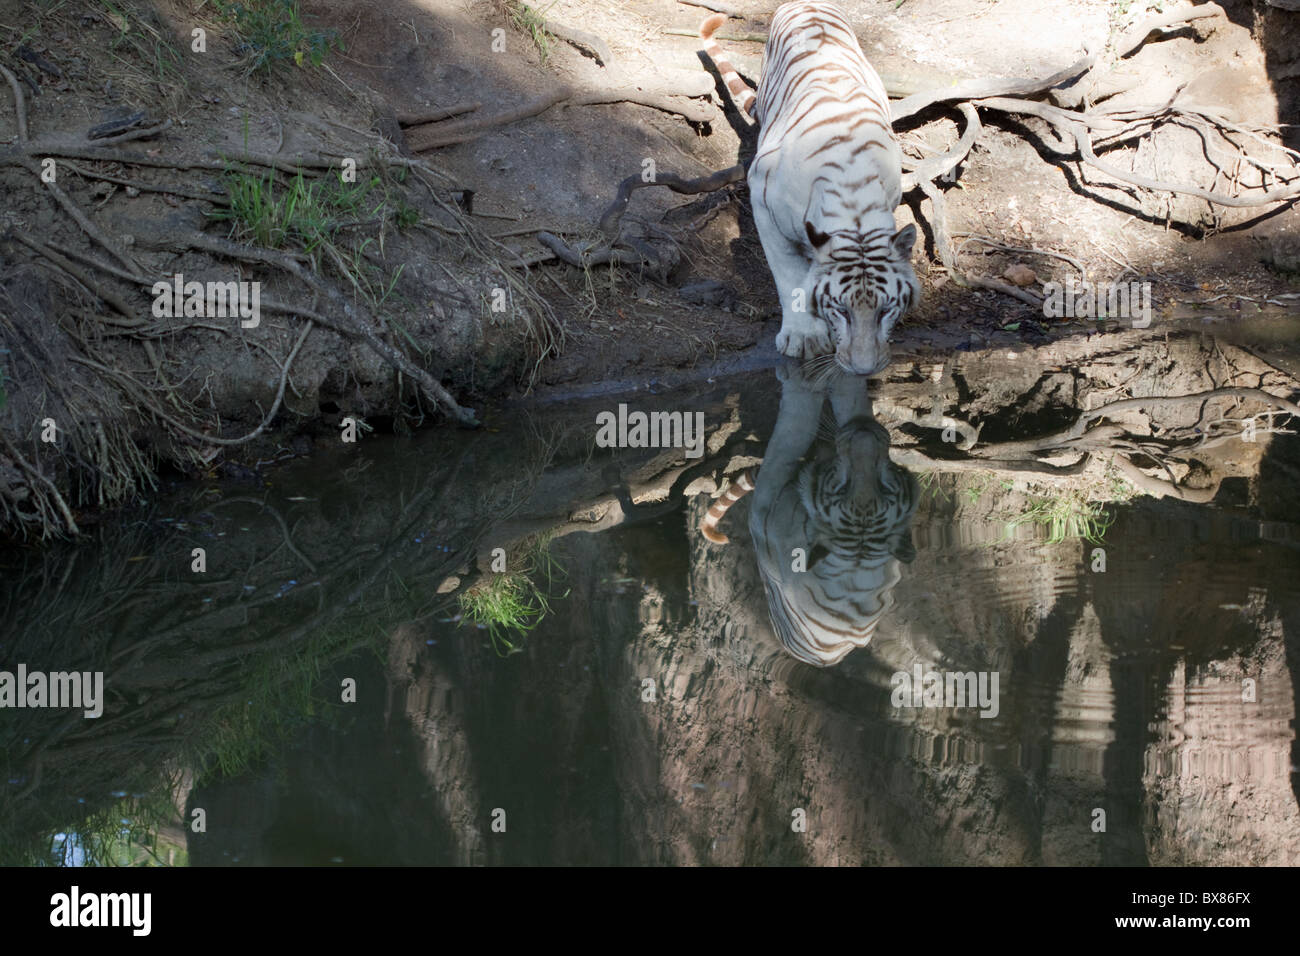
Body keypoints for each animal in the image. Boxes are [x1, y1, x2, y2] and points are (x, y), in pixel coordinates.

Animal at [700, 1, 919, 376]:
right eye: (841, 310)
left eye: (886, 310)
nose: (864, 369)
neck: (853, 203)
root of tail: (807, 3)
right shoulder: (763, 204)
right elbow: (789, 276)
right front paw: (804, 338)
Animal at [701, 364, 918, 666]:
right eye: (843, 486)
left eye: (884, 484)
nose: (863, 430)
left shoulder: (766, 503)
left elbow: (791, 430)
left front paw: (797, 377)